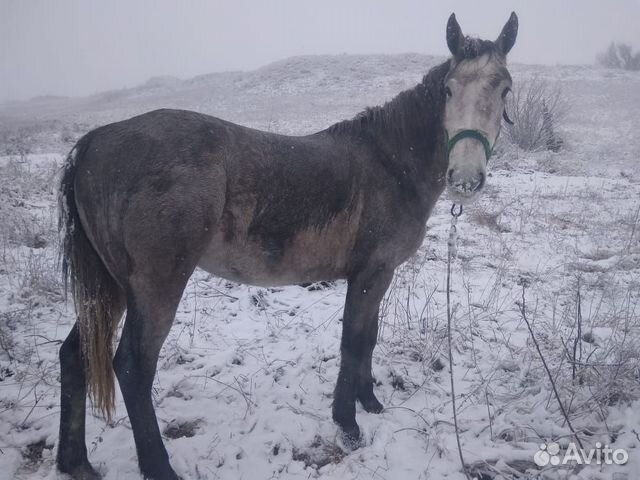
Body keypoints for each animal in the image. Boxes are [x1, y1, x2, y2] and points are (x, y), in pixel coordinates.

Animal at [56, 12, 518, 480]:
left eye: (504, 88)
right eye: (449, 89)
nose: (465, 177)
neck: (390, 162)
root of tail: (95, 141)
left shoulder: (380, 276)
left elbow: (368, 339)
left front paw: (369, 402)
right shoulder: (369, 275)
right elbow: (353, 342)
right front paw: (348, 424)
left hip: (112, 287)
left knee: (74, 356)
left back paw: (76, 462)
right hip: (155, 287)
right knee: (133, 369)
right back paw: (158, 466)